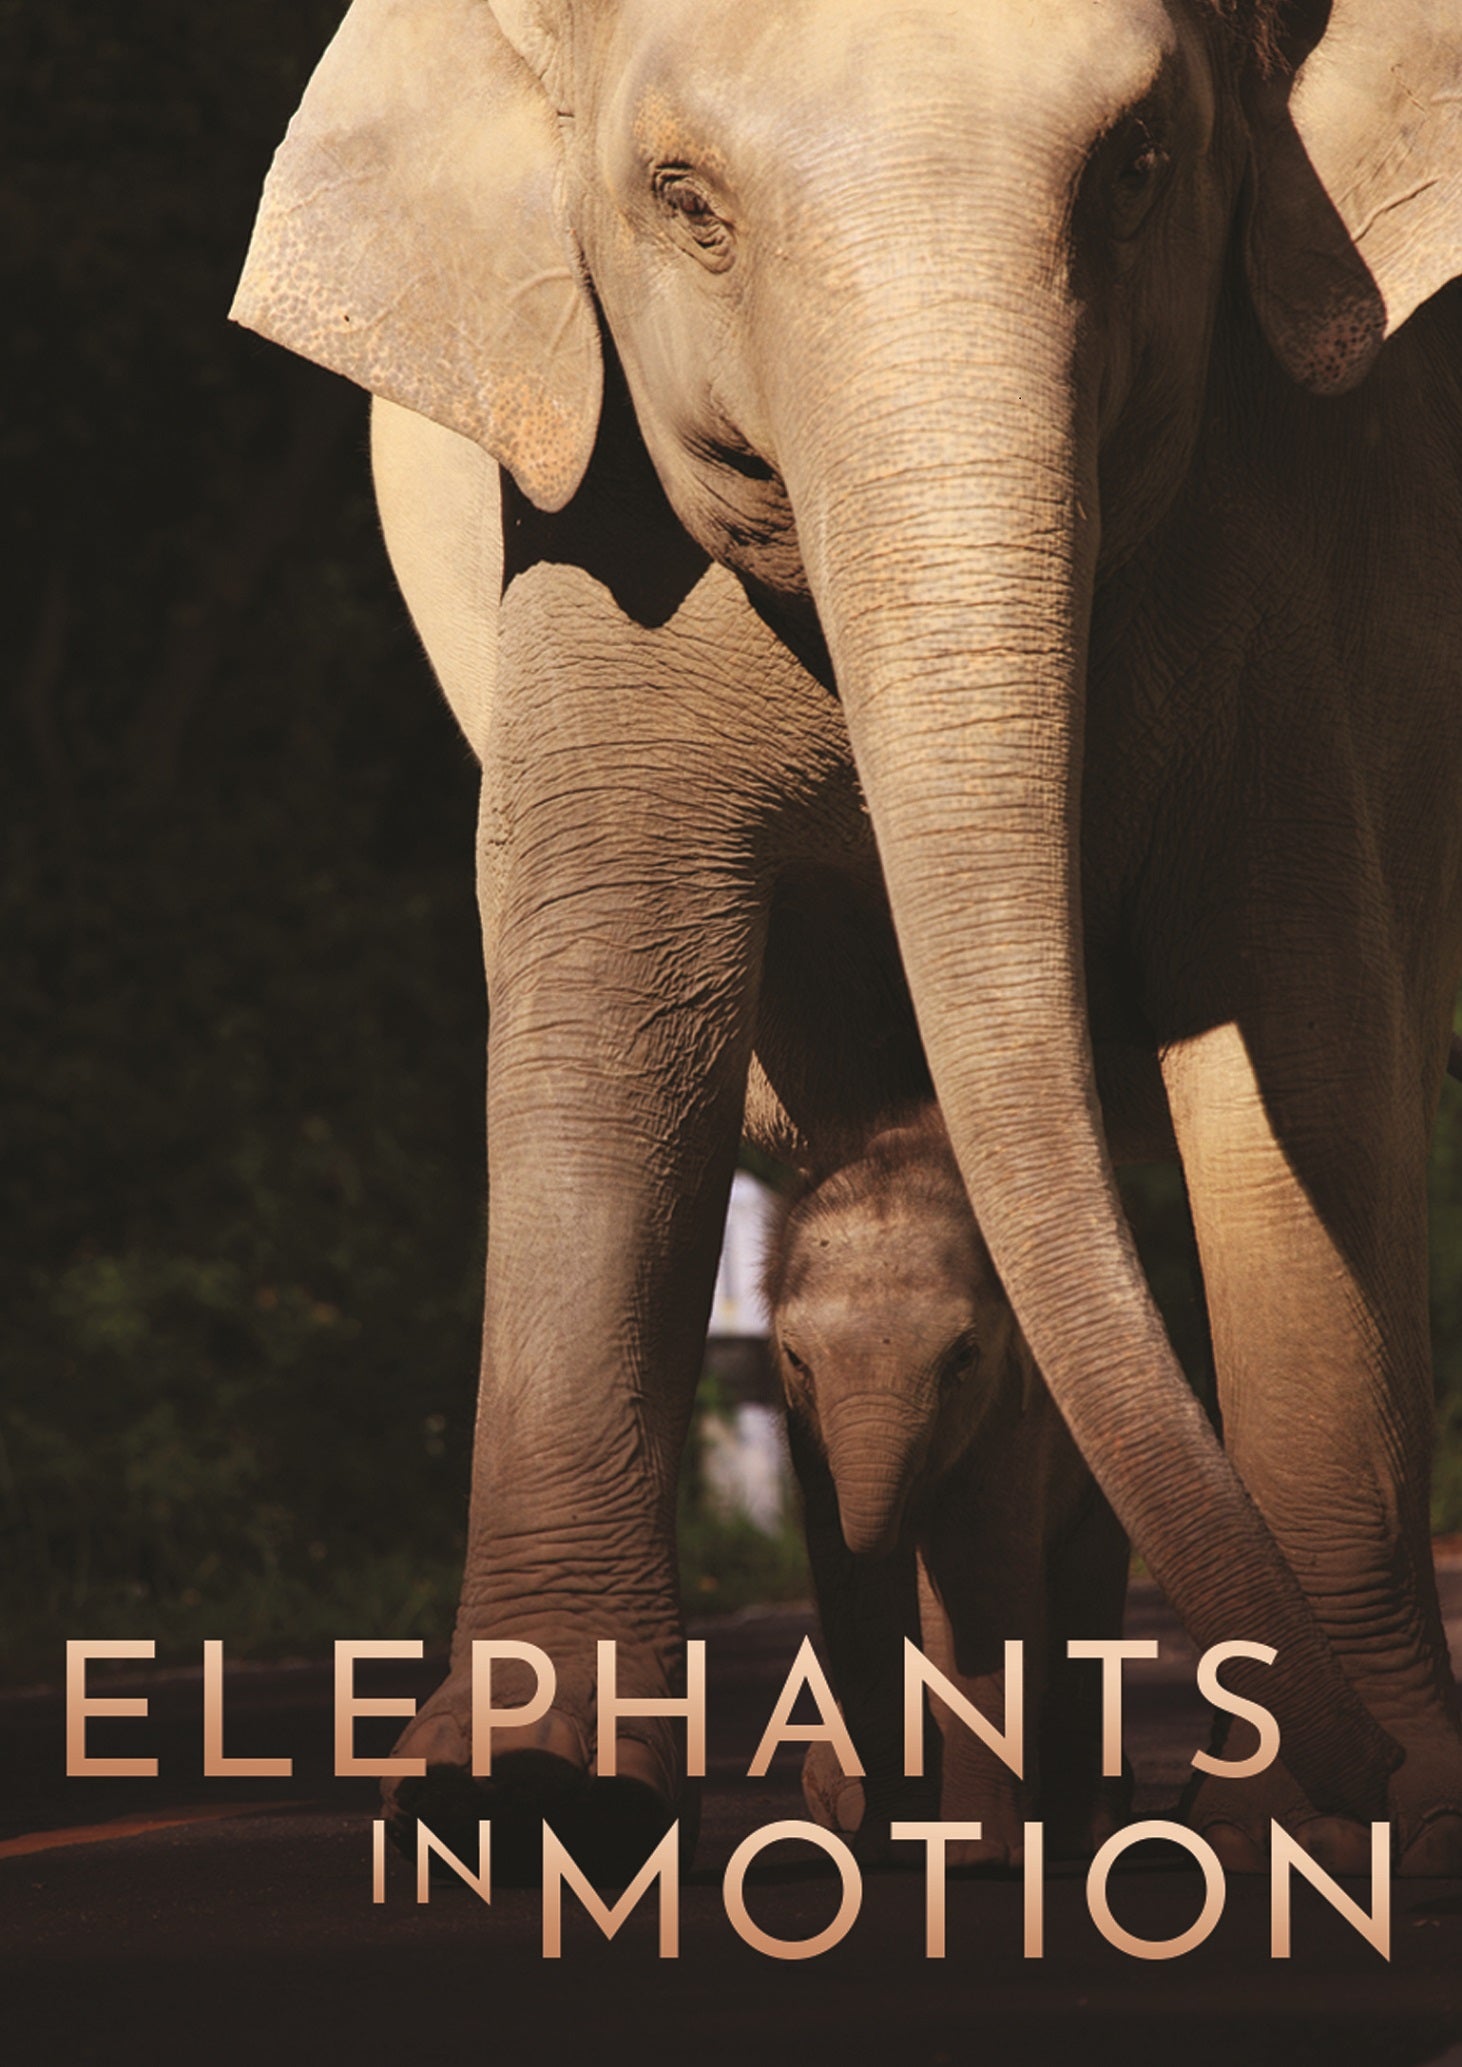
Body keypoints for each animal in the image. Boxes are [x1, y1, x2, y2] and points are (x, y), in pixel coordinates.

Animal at [768, 1103, 1130, 1866]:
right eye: (796, 1359)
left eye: (963, 1357)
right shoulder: (808, 1438)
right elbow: (852, 1581)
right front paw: (885, 1848)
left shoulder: (1016, 1414)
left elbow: (978, 1575)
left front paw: (977, 1860)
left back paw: (1083, 1833)